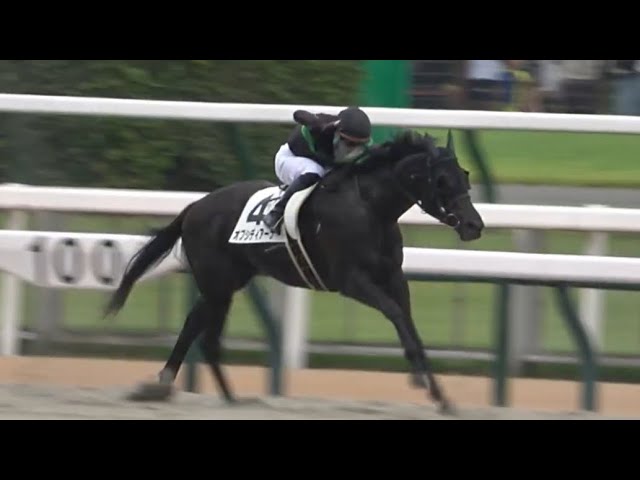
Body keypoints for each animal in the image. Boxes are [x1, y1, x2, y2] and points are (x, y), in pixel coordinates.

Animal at [104, 128, 485, 415]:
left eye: (464, 175)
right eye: (441, 181)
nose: (474, 225)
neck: (371, 207)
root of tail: (194, 207)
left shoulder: (394, 276)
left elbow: (409, 324)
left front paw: (441, 396)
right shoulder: (352, 280)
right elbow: (394, 313)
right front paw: (421, 380)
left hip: (227, 283)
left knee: (203, 332)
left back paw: (224, 398)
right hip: (217, 283)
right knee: (199, 331)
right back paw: (171, 385)